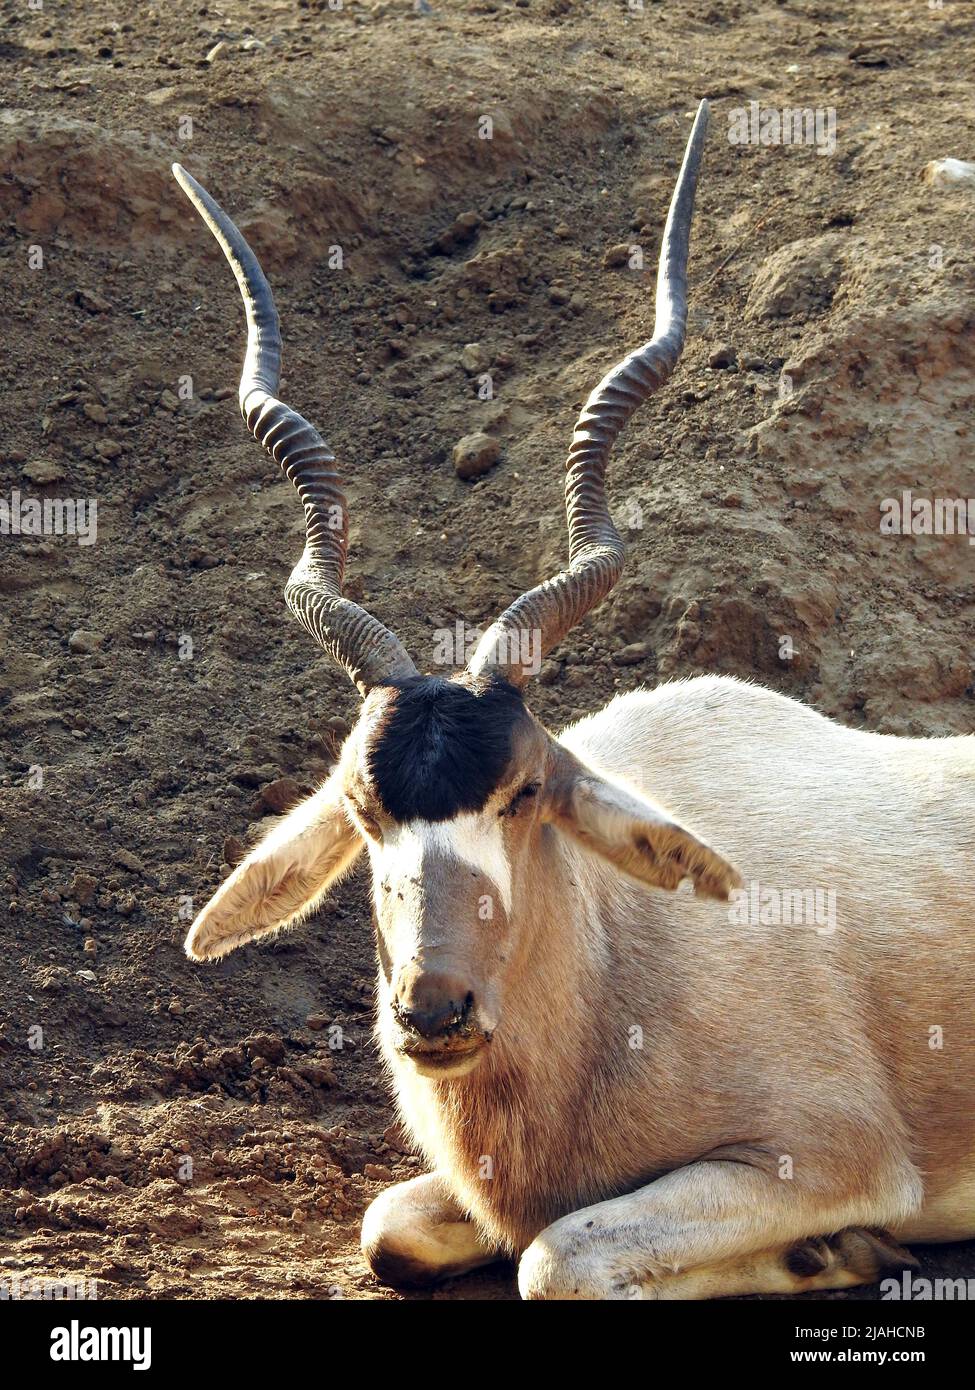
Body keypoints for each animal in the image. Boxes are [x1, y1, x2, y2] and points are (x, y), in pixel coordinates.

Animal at [172, 100, 975, 1299]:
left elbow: (554, 1257)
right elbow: (391, 1226)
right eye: (362, 809)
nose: (434, 1010)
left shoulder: (836, 1156)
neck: (623, 952)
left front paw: (832, 1249)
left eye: (523, 793)